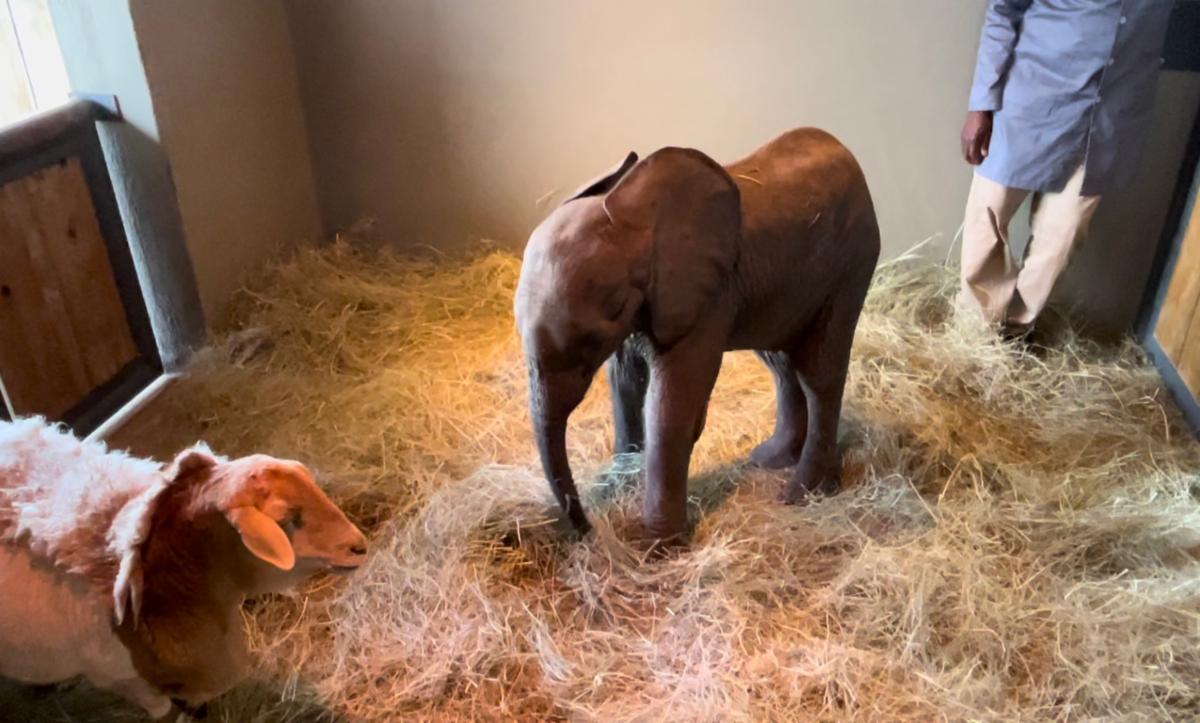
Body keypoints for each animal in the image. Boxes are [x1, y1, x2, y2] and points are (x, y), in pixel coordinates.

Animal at [514, 127, 880, 542]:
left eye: (587, 343)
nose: (587, 529)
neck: (638, 223)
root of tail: (847, 155)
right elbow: (625, 385)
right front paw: (625, 482)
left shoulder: (707, 299)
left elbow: (671, 406)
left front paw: (656, 543)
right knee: (782, 366)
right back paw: (770, 460)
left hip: (852, 264)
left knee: (819, 375)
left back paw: (802, 493)